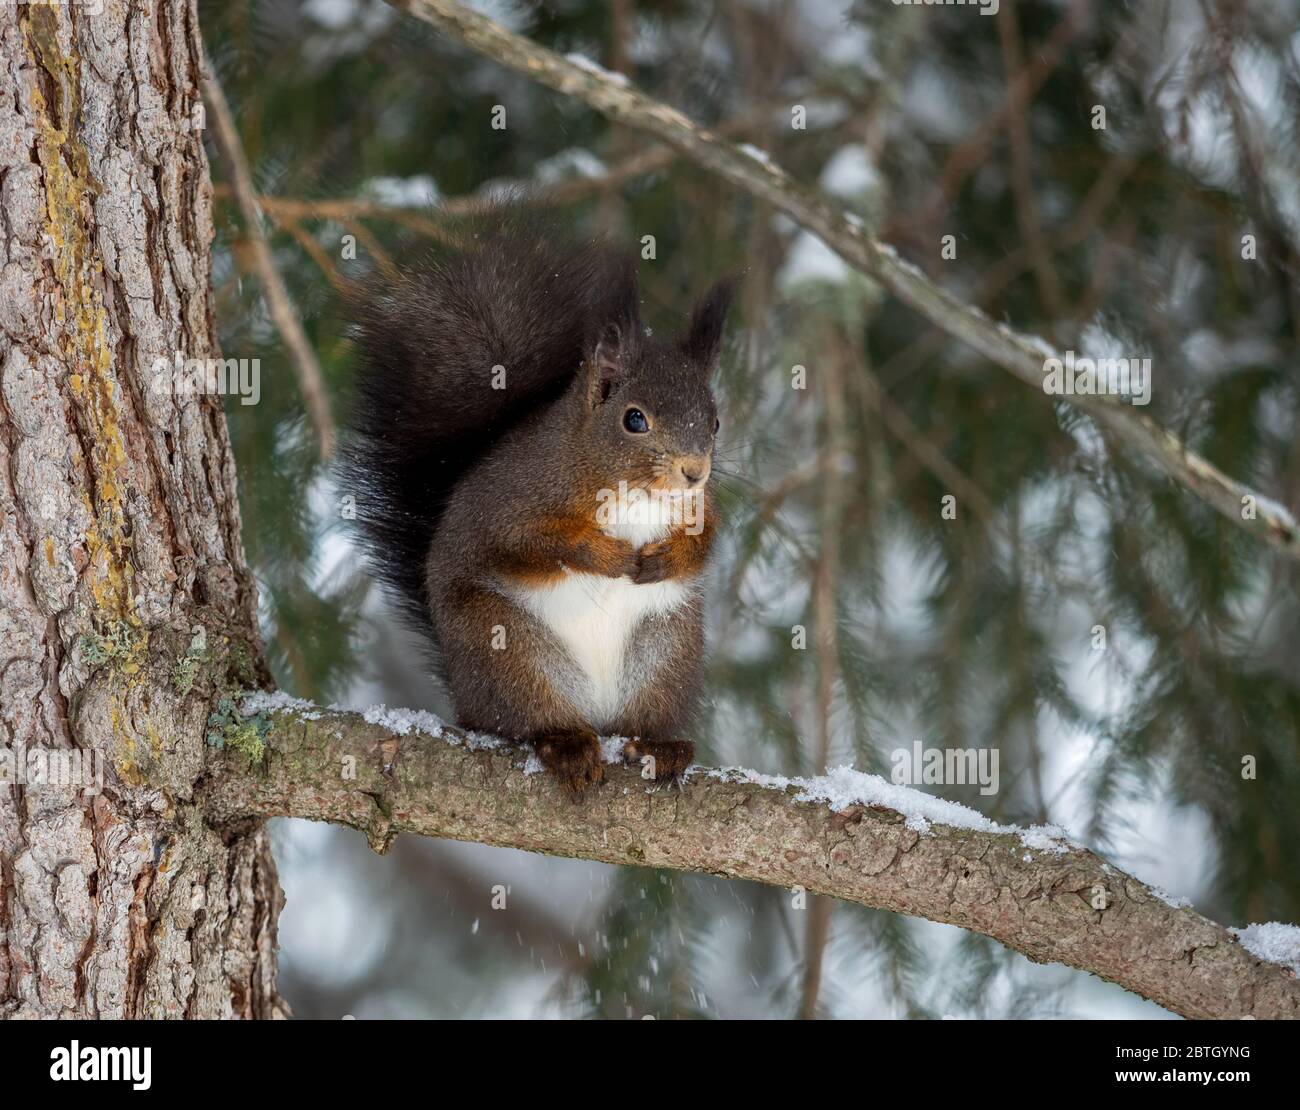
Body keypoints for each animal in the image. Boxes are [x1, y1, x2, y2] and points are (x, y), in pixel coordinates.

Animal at [341, 203, 734, 798]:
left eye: (713, 422)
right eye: (634, 419)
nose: (694, 472)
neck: (630, 490)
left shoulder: (696, 510)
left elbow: (706, 542)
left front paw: (668, 558)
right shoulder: (516, 502)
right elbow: (528, 545)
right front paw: (606, 555)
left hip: (667, 650)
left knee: (641, 719)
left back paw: (658, 745)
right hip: (507, 650)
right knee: (523, 722)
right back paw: (564, 743)